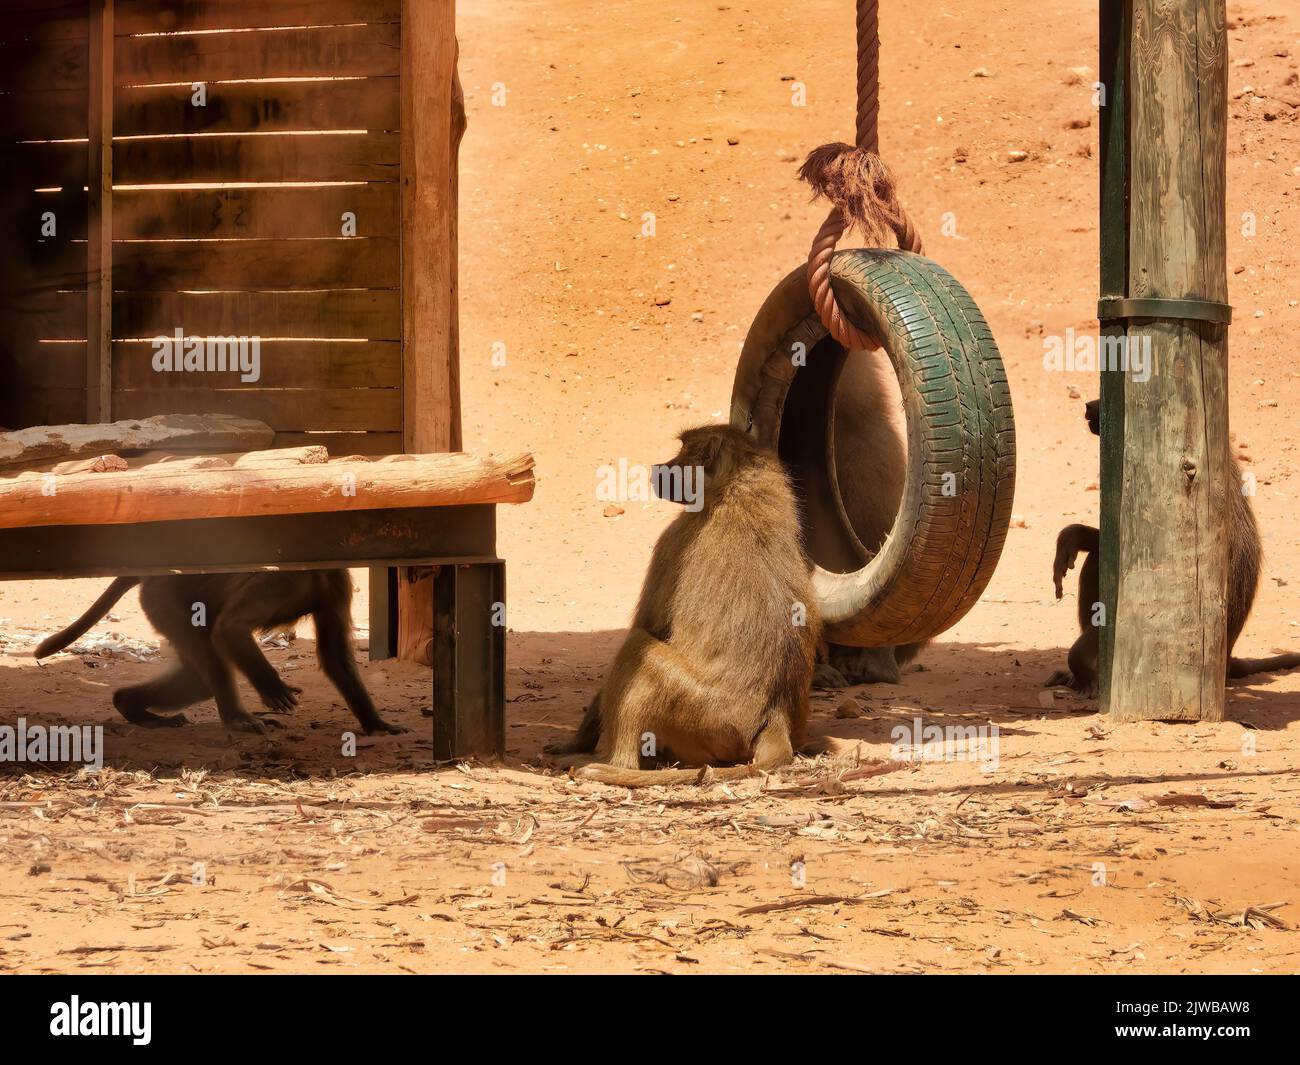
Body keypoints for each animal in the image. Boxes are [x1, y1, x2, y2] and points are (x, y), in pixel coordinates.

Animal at [35, 570, 404, 735]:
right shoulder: (281, 580)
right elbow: (231, 627)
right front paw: (274, 690)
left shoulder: (334, 582)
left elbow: (334, 655)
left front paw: (375, 724)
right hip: (165, 601)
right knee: (212, 659)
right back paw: (237, 719)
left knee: (197, 680)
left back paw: (132, 707)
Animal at [549, 424, 819, 786]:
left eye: (684, 452)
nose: (657, 469)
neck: (734, 491)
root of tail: (773, 716)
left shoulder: (673, 538)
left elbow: (645, 627)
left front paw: (574, 744)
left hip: (707, 721)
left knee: (639, 648)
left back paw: (612, 766)